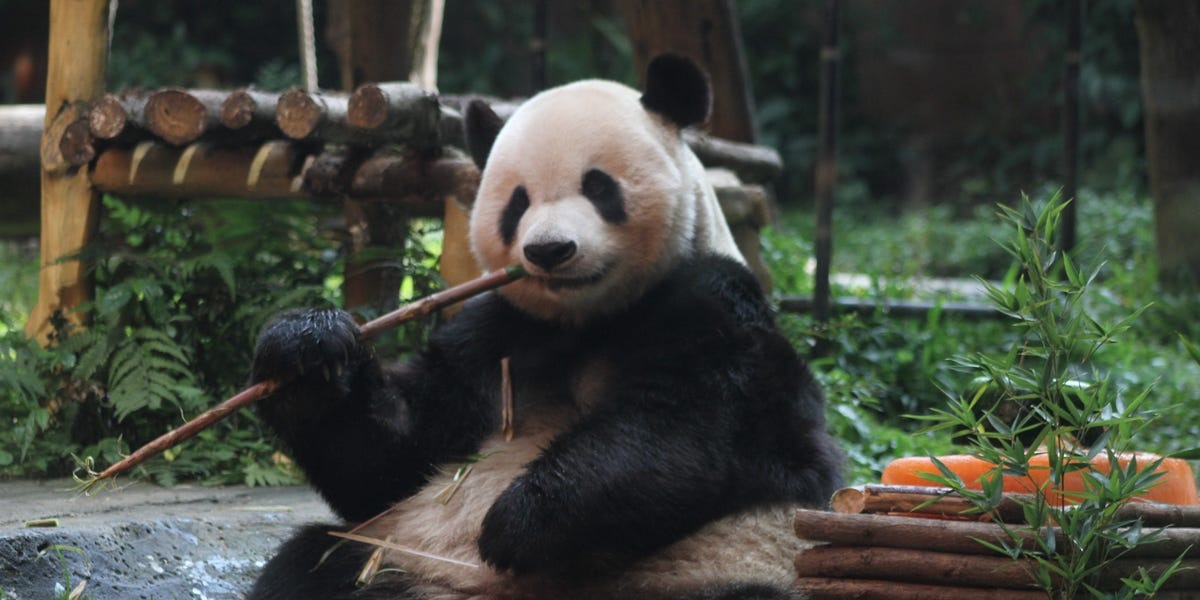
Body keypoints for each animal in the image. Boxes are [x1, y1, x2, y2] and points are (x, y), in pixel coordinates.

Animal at [247, 54, 843, 600]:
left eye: (598, 187)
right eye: (517, 202)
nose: (550, 250)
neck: (586, 322)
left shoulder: (716, 303)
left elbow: (678, 430)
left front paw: (516, 523)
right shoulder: (497, 333)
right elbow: (394, 457)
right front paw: (305, 350)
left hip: (718, 566)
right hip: (399, 562)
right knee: (311, 566)